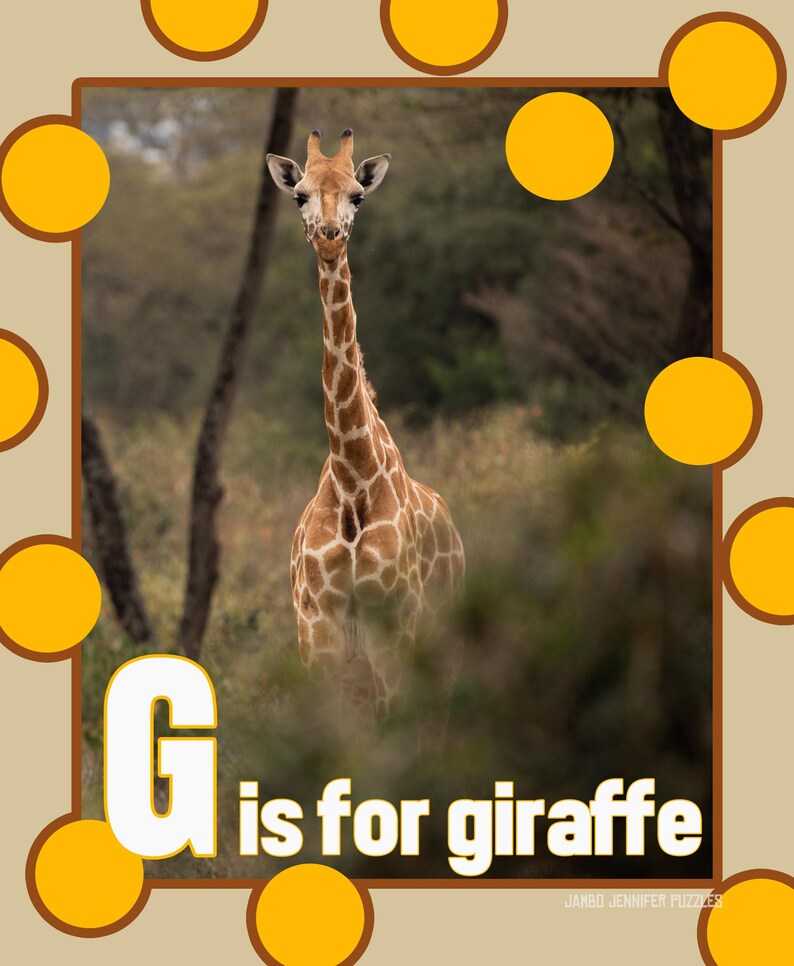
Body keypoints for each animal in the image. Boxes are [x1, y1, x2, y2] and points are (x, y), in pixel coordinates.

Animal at [267, 130, 465, 722]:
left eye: (357, 195)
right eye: (300, 196)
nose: (329, 237)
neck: (353, 478)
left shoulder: (396, 637)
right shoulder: (319, 638)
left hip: (440, 656)